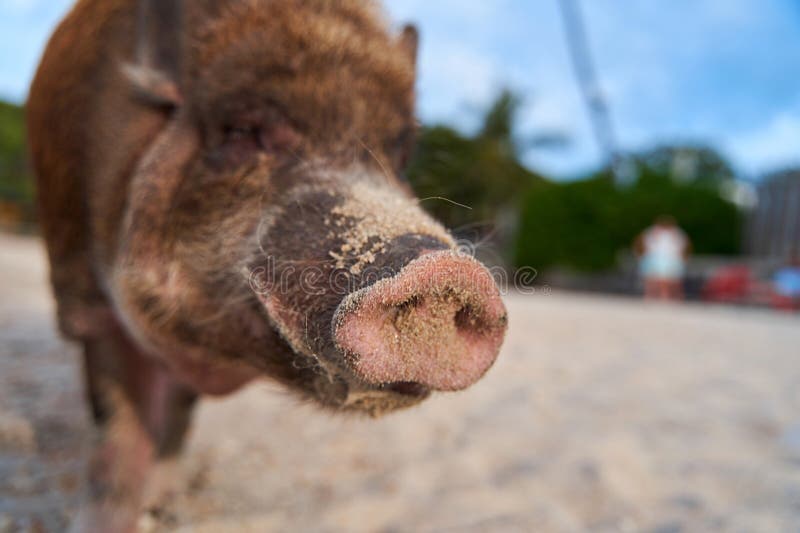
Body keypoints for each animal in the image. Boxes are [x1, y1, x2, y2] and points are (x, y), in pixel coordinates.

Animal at [27, 0, 508, 530]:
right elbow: (117, 442)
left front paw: (165, 508)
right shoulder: (90, 305)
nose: (447, 271)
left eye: (399, 158)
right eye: (242, 130)